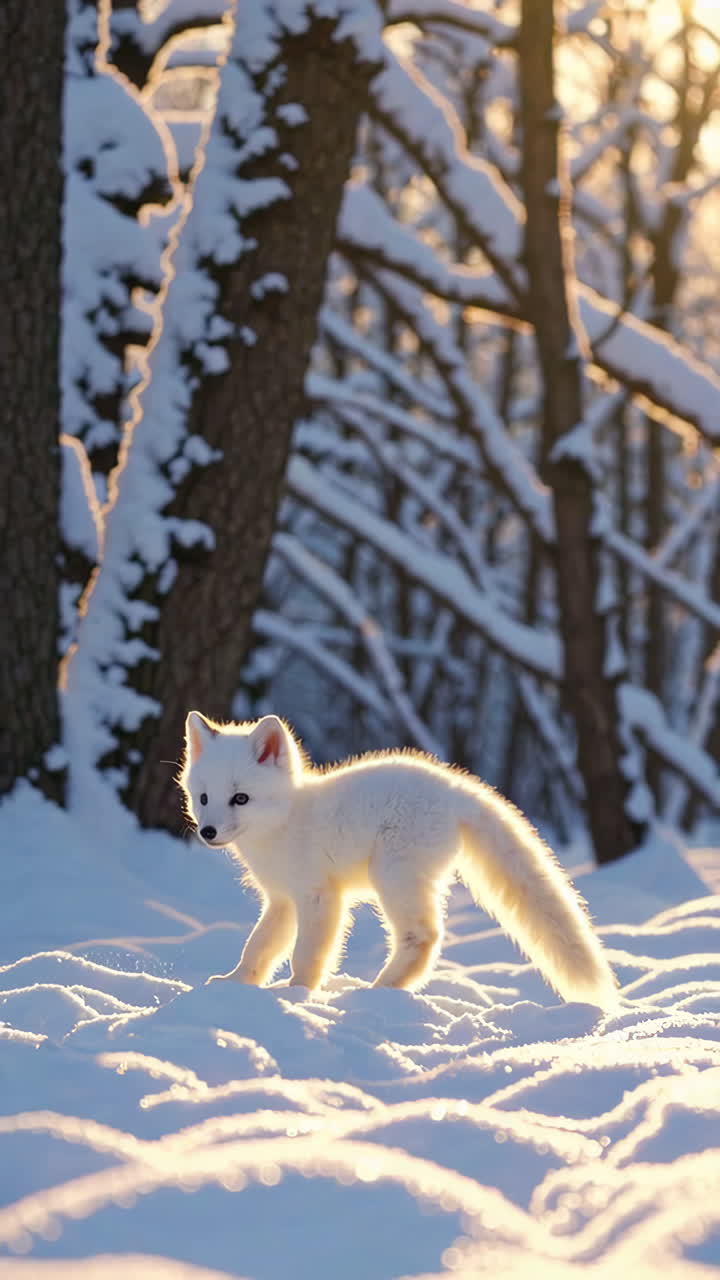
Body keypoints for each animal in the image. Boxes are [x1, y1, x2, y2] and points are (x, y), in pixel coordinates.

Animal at [180, 711, 618, 1006]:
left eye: (241, 798)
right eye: (203, 797)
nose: (208, 832)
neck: (286, 822)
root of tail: (454, 787)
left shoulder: (320, 897)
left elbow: (307, 954)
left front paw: (297, 995)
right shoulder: (283, 900)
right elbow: (258, 947)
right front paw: (234, 983)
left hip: (392, 878)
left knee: (424, 936)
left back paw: (377, 992)